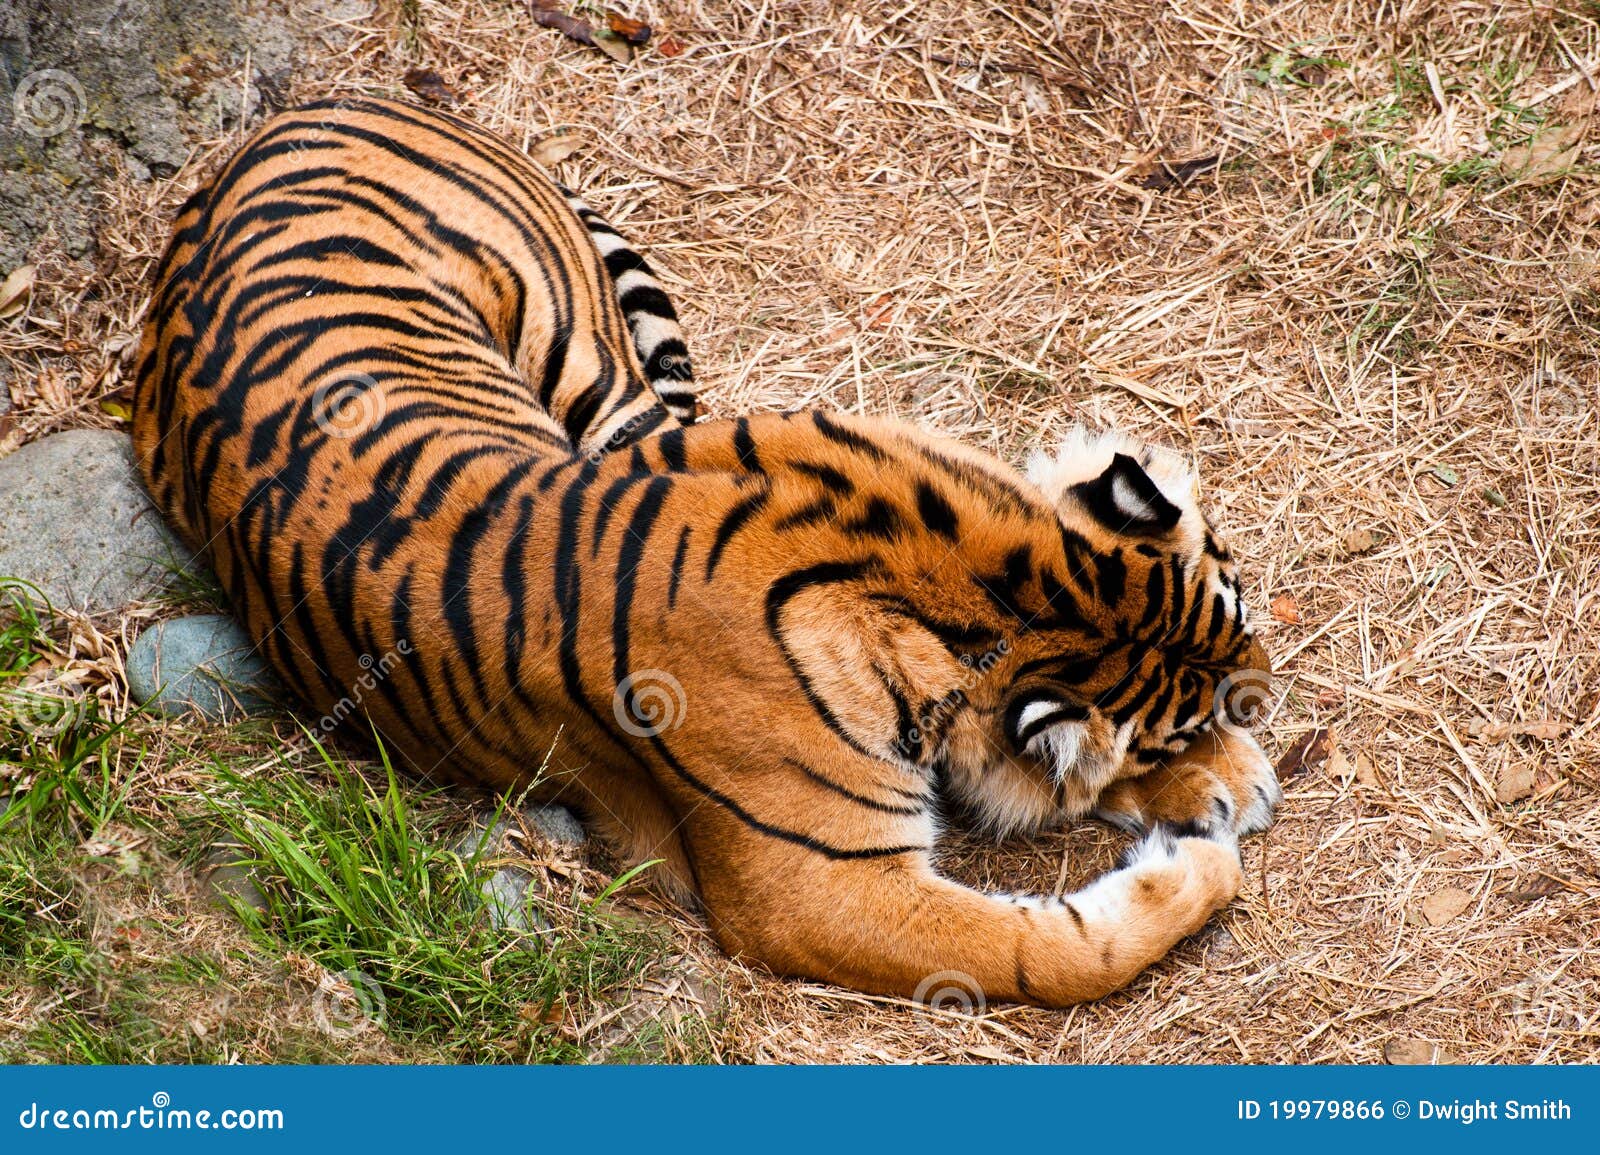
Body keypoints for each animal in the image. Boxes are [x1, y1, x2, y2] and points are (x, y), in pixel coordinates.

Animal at [131, 96, 1281, 1007]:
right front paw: (1197, 862)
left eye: (1241, 625)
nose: (1265, 698)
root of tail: (275, 125)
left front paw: (1230, 787)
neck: (958, 566)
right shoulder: (818, 883)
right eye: (1173, 731)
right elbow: (1045, 953)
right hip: (587, 356)